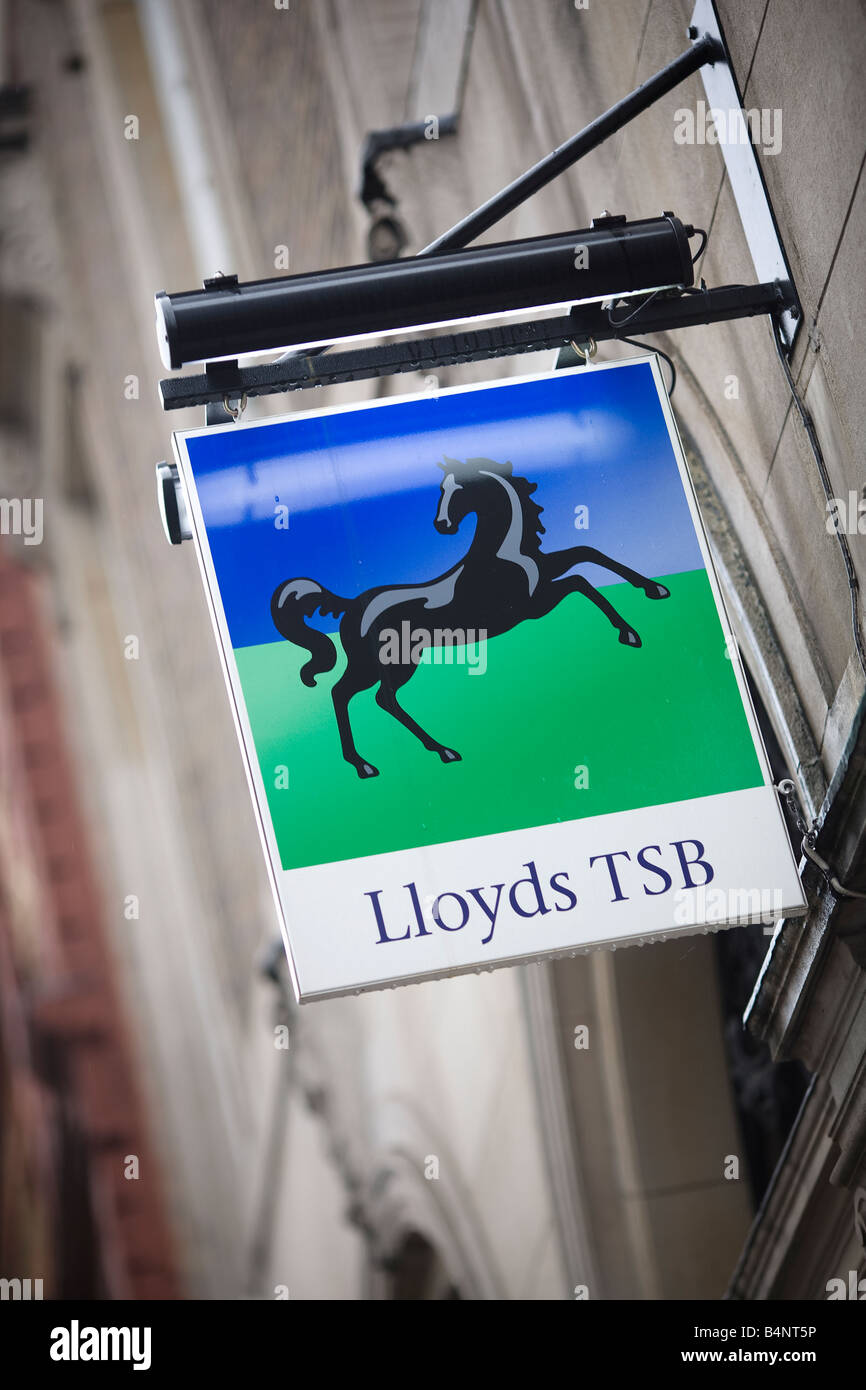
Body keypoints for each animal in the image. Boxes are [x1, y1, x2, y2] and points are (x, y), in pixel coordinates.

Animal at [271, 458, 670, 778]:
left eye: (458, 490)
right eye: (442, 490)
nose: (442, 524)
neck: (502, 553)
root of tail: (352, 604)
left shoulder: (544, 575)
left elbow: (587, 552)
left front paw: (654, 590)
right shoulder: (532, 607)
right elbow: (580, 582)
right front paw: (629, 632)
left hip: (372, 663)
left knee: (344, 694)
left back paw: (365, 764)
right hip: (395, 661)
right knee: (382, 698)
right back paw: (440, 751)